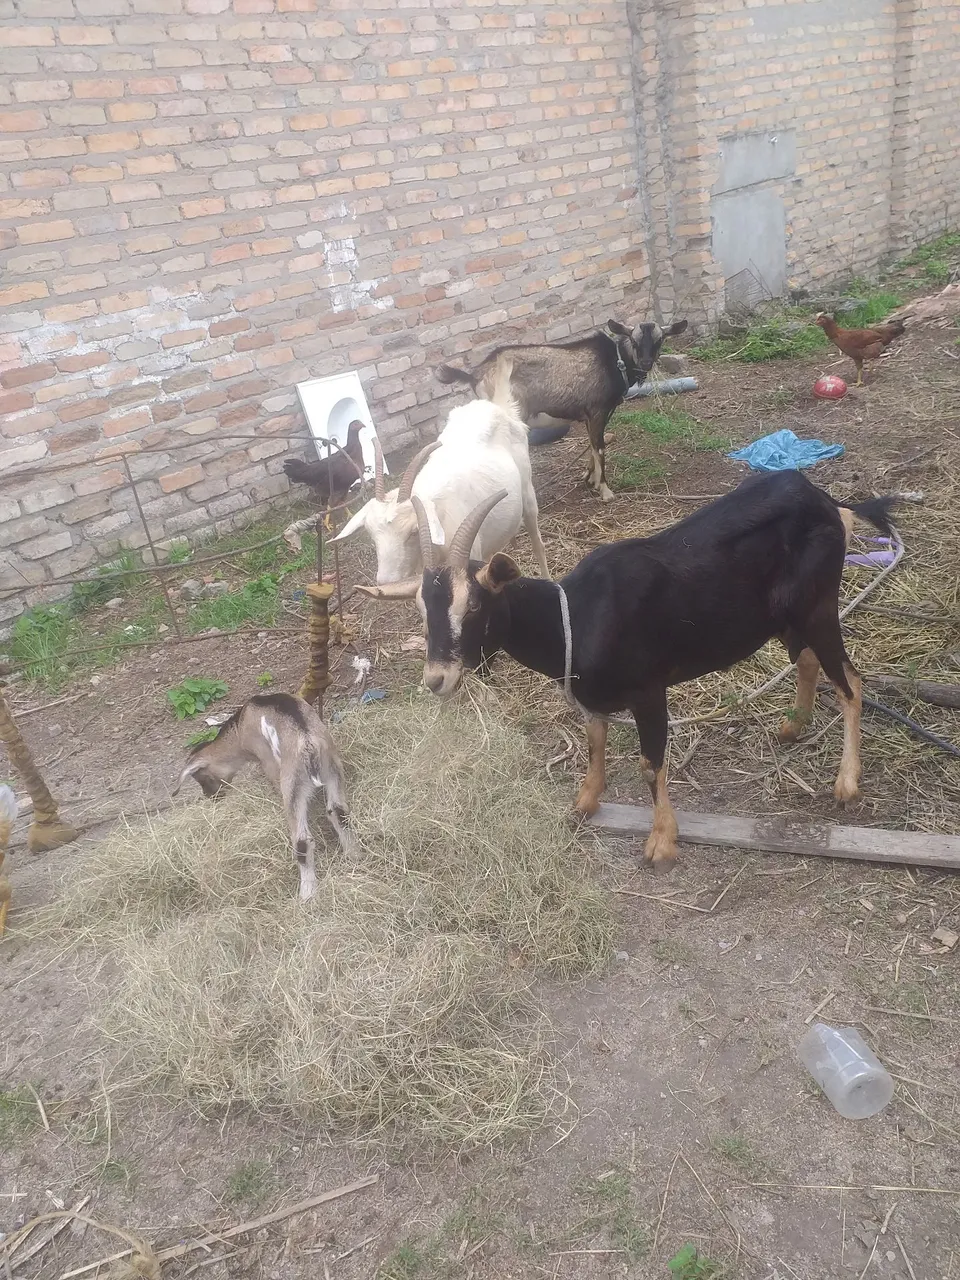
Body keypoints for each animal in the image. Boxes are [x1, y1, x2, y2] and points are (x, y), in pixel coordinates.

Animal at [174, 693, 352, 900]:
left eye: (201, 777)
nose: (211, 796)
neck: (240, 729)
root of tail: (309, 744)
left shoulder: (269, 763)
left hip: (292, 781)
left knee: (302, 840)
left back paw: (306, 895)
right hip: (333, 769)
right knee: (339, 812)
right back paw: (354, 857)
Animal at [334, 369, 549, 598]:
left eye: (413, 532)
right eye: (371, 533)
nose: (386, 582)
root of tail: (498, 407)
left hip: (527, 491)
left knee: (538, 542)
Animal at [411, 472, 897, 870]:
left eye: (473, 605)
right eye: (423, 608)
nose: (436, 679)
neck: (575, 618)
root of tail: (827, 501)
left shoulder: (649, 691)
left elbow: (650, 764)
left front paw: (661, 843)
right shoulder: (592, 697)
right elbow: (595, 743)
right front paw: (584, 803)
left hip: (819, 608)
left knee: (850, 683)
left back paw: (847, 782)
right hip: (784, 618)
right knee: (809, 660)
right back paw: (793, 726)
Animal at [436, 318, 688, 503]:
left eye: (660, 340)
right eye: (634, 342)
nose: (646, 363)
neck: (617, 363)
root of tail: (475, 374)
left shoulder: (591, 415)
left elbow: (592, 446)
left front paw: (590, 479)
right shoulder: (598, 410)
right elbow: (600, 449)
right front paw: (606, 491)